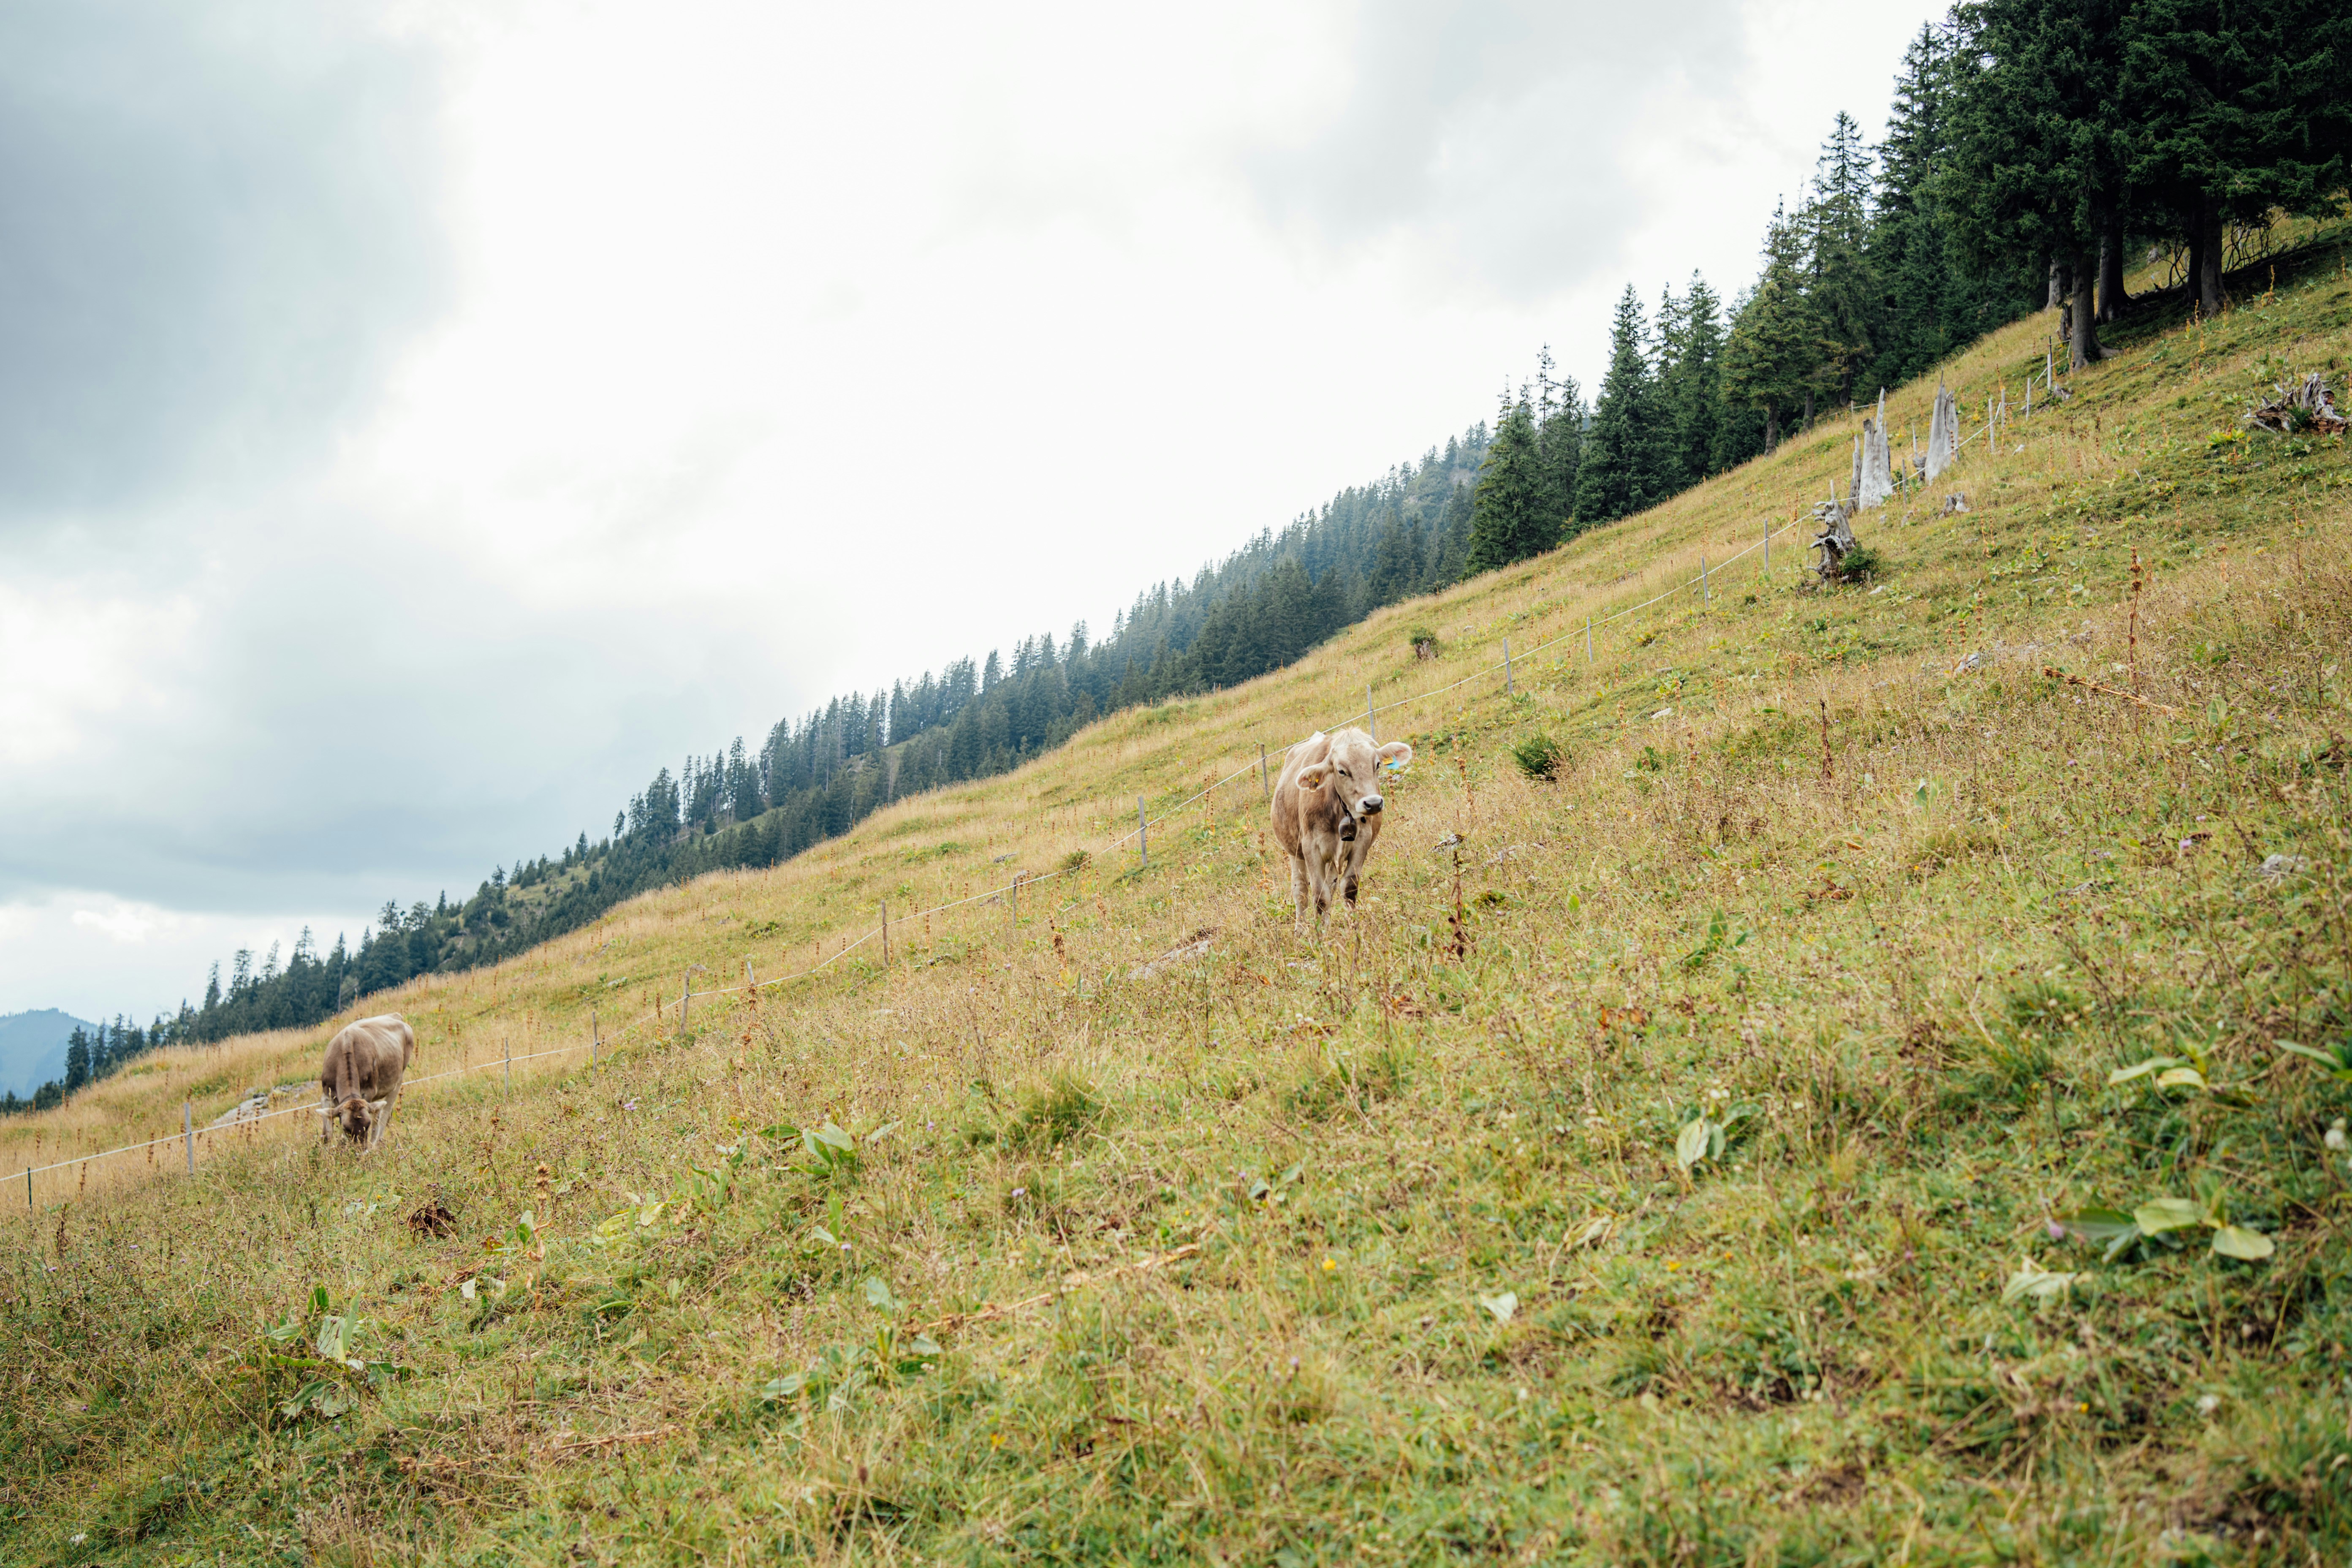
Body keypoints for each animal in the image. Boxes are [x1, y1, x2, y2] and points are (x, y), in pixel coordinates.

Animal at [317, 1015, 416, 1150]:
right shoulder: (326, 1096)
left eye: (366, 1126)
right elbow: (326, 1134)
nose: (362, 1152)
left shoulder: (368, 1093)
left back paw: (376, 1144)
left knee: (383, 1117)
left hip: (398, 1080)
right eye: (346, 1129)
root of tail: (395, 1015)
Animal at [1271, 727, 1414, 928]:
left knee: (1330, 885)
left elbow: (1348, 888)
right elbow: (1320, 897)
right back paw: (1301, 930)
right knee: (1301, 891)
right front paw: (1320, 936)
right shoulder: (1310, 848)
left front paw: (1353, 929)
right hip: (1295, 852)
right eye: (1341, 771)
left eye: (1377, 764)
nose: (1373, 803)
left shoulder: (1362, 842)